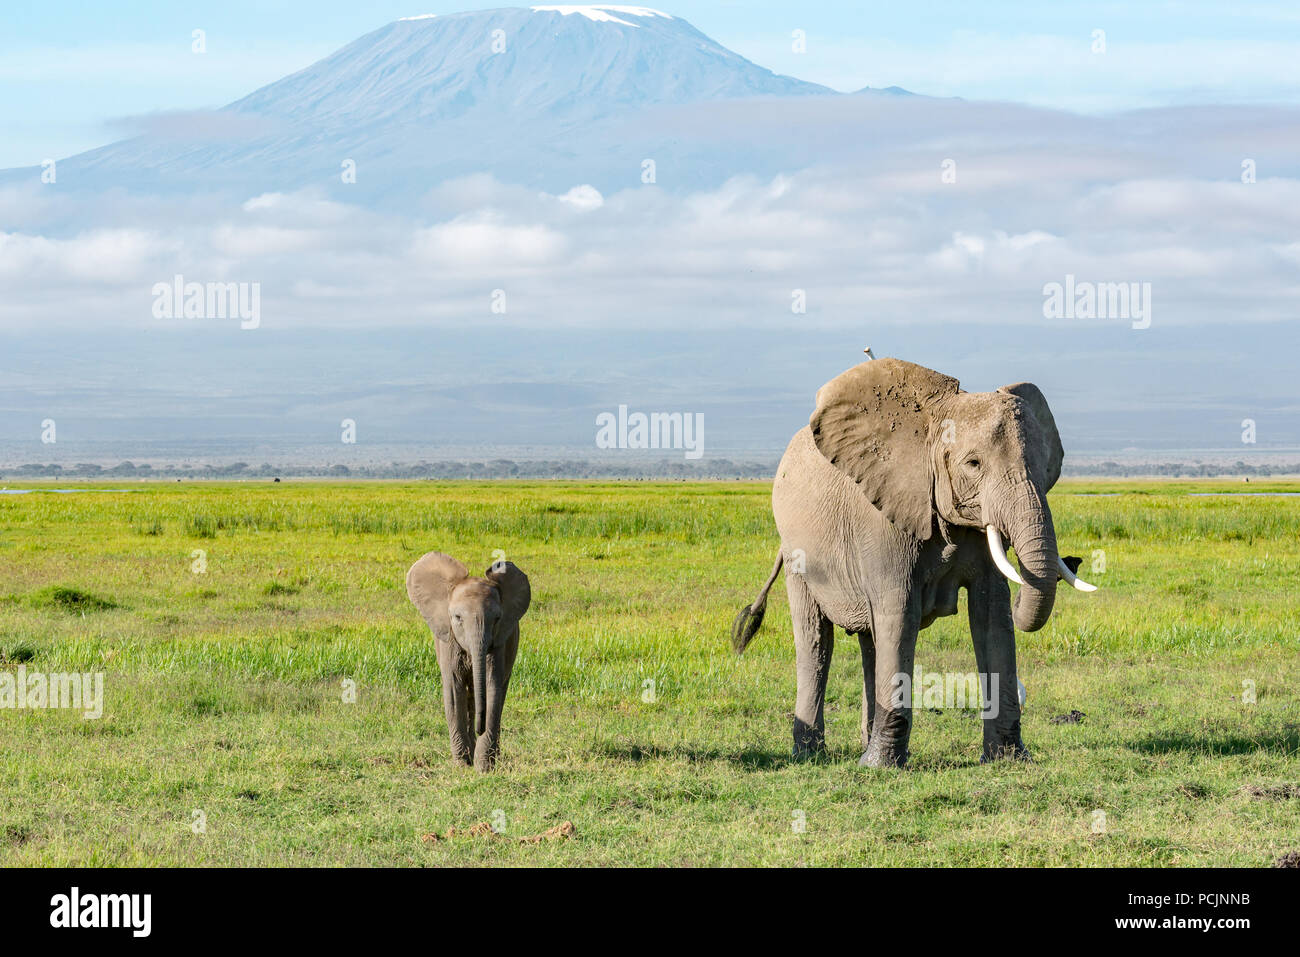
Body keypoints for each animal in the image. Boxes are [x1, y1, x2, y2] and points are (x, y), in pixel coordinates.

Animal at [403, 553, 530, 769]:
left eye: (497, 619)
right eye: (458, 617)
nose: (480, 728)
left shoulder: (498, 641)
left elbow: (492, 687)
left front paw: (484, 767)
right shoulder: (449, 639)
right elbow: (455, 690)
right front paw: (462, 765)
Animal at [738, 358, 1092, 769]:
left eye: (1044, 465)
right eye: (973, 463)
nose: (1074, 562)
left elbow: (992, 613)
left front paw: (1008, 759)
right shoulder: (882, 520)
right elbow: (900, 612)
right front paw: (881, 768)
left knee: (871, 640)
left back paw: (864, 745)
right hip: (796, 550)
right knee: (816, 642)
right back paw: (811, 755)